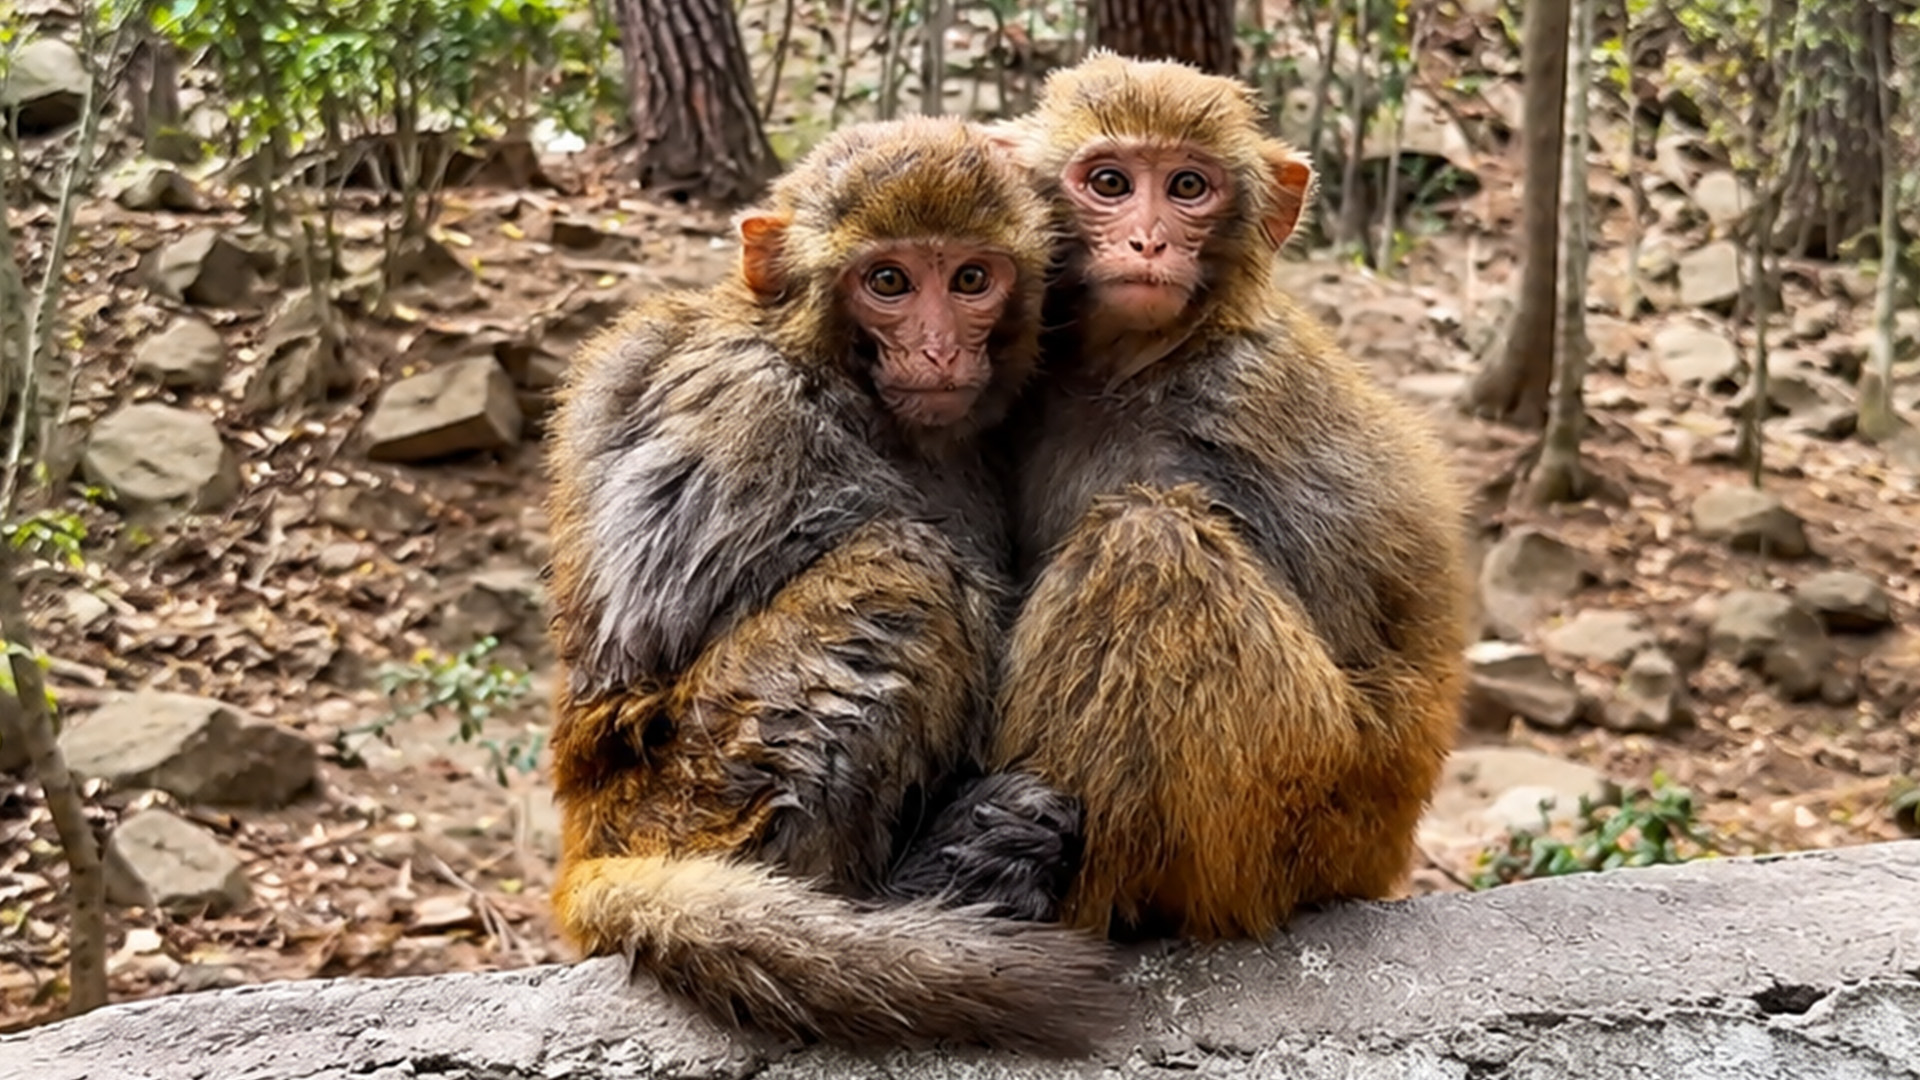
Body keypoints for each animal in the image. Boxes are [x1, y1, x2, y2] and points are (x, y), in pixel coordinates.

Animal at [541, 116, 1124, 1053]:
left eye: (971, 279)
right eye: (888, 282)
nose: (937, 348)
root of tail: (591, 833)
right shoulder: (752, 417)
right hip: (691, 801)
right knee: (903, 569)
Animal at [962, 52, 1472, 942]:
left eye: (1189, 187)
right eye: (1109, 182)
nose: (1149, 240)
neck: (1138, 369)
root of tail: (1384, 853)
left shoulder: (1247, 405)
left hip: (1303, 820)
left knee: (1149, 543)